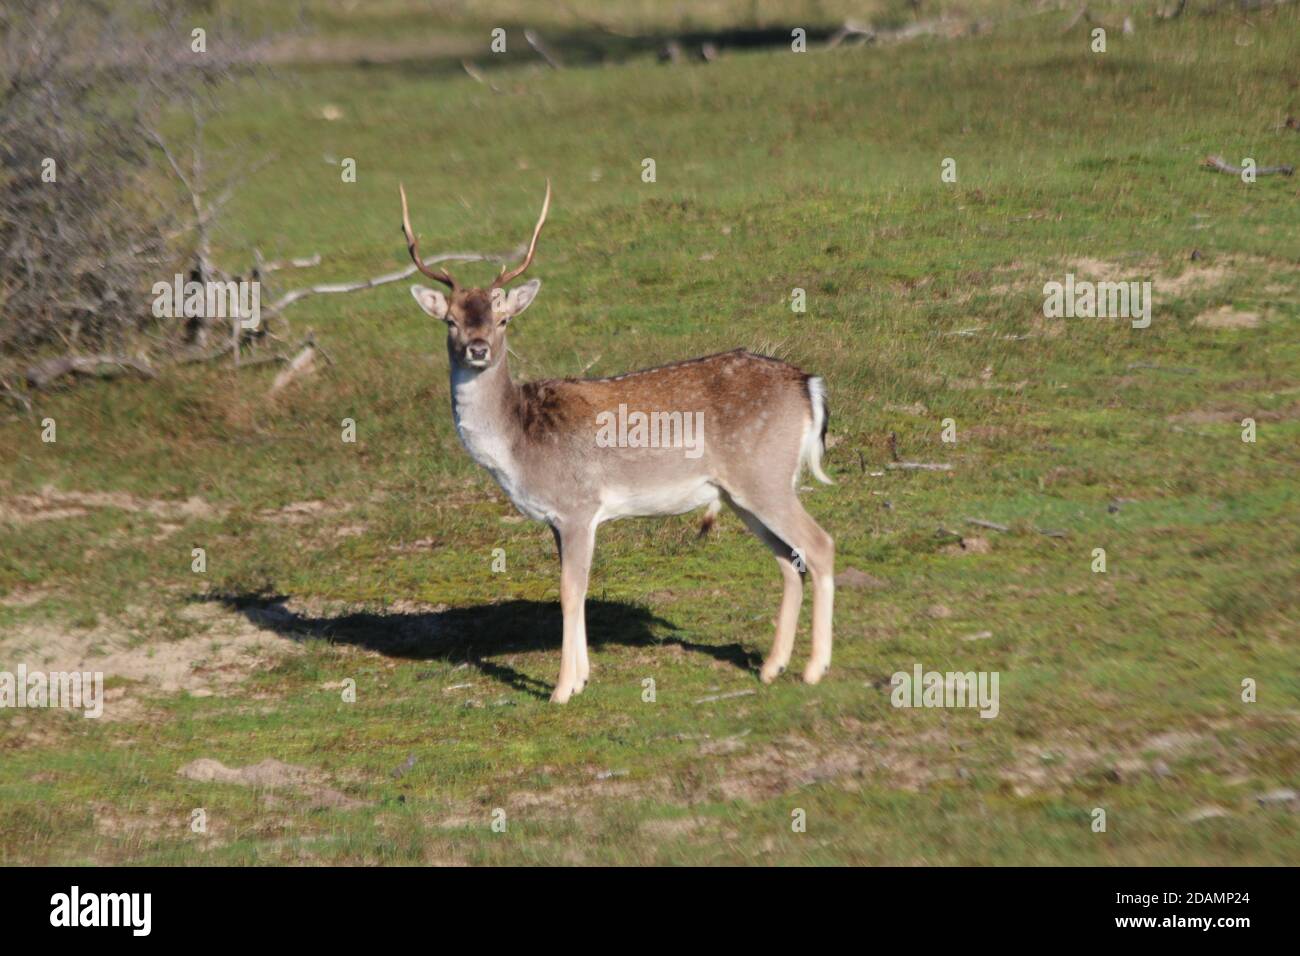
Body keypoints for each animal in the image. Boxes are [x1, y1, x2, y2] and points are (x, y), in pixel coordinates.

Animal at [400, 181, 835, 703]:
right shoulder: (557, 519)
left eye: (503, 320)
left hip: (764, 477)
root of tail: (808, 385)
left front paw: (561, 690)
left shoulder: (577, 506)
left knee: (820, 545)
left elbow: (569, 592)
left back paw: (814, 670)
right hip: (741, 492)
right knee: (789, 559)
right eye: (450, 321)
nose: (478, 348)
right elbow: (579, 590)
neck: (519, 445)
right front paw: (582, 677)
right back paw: (771, 668)